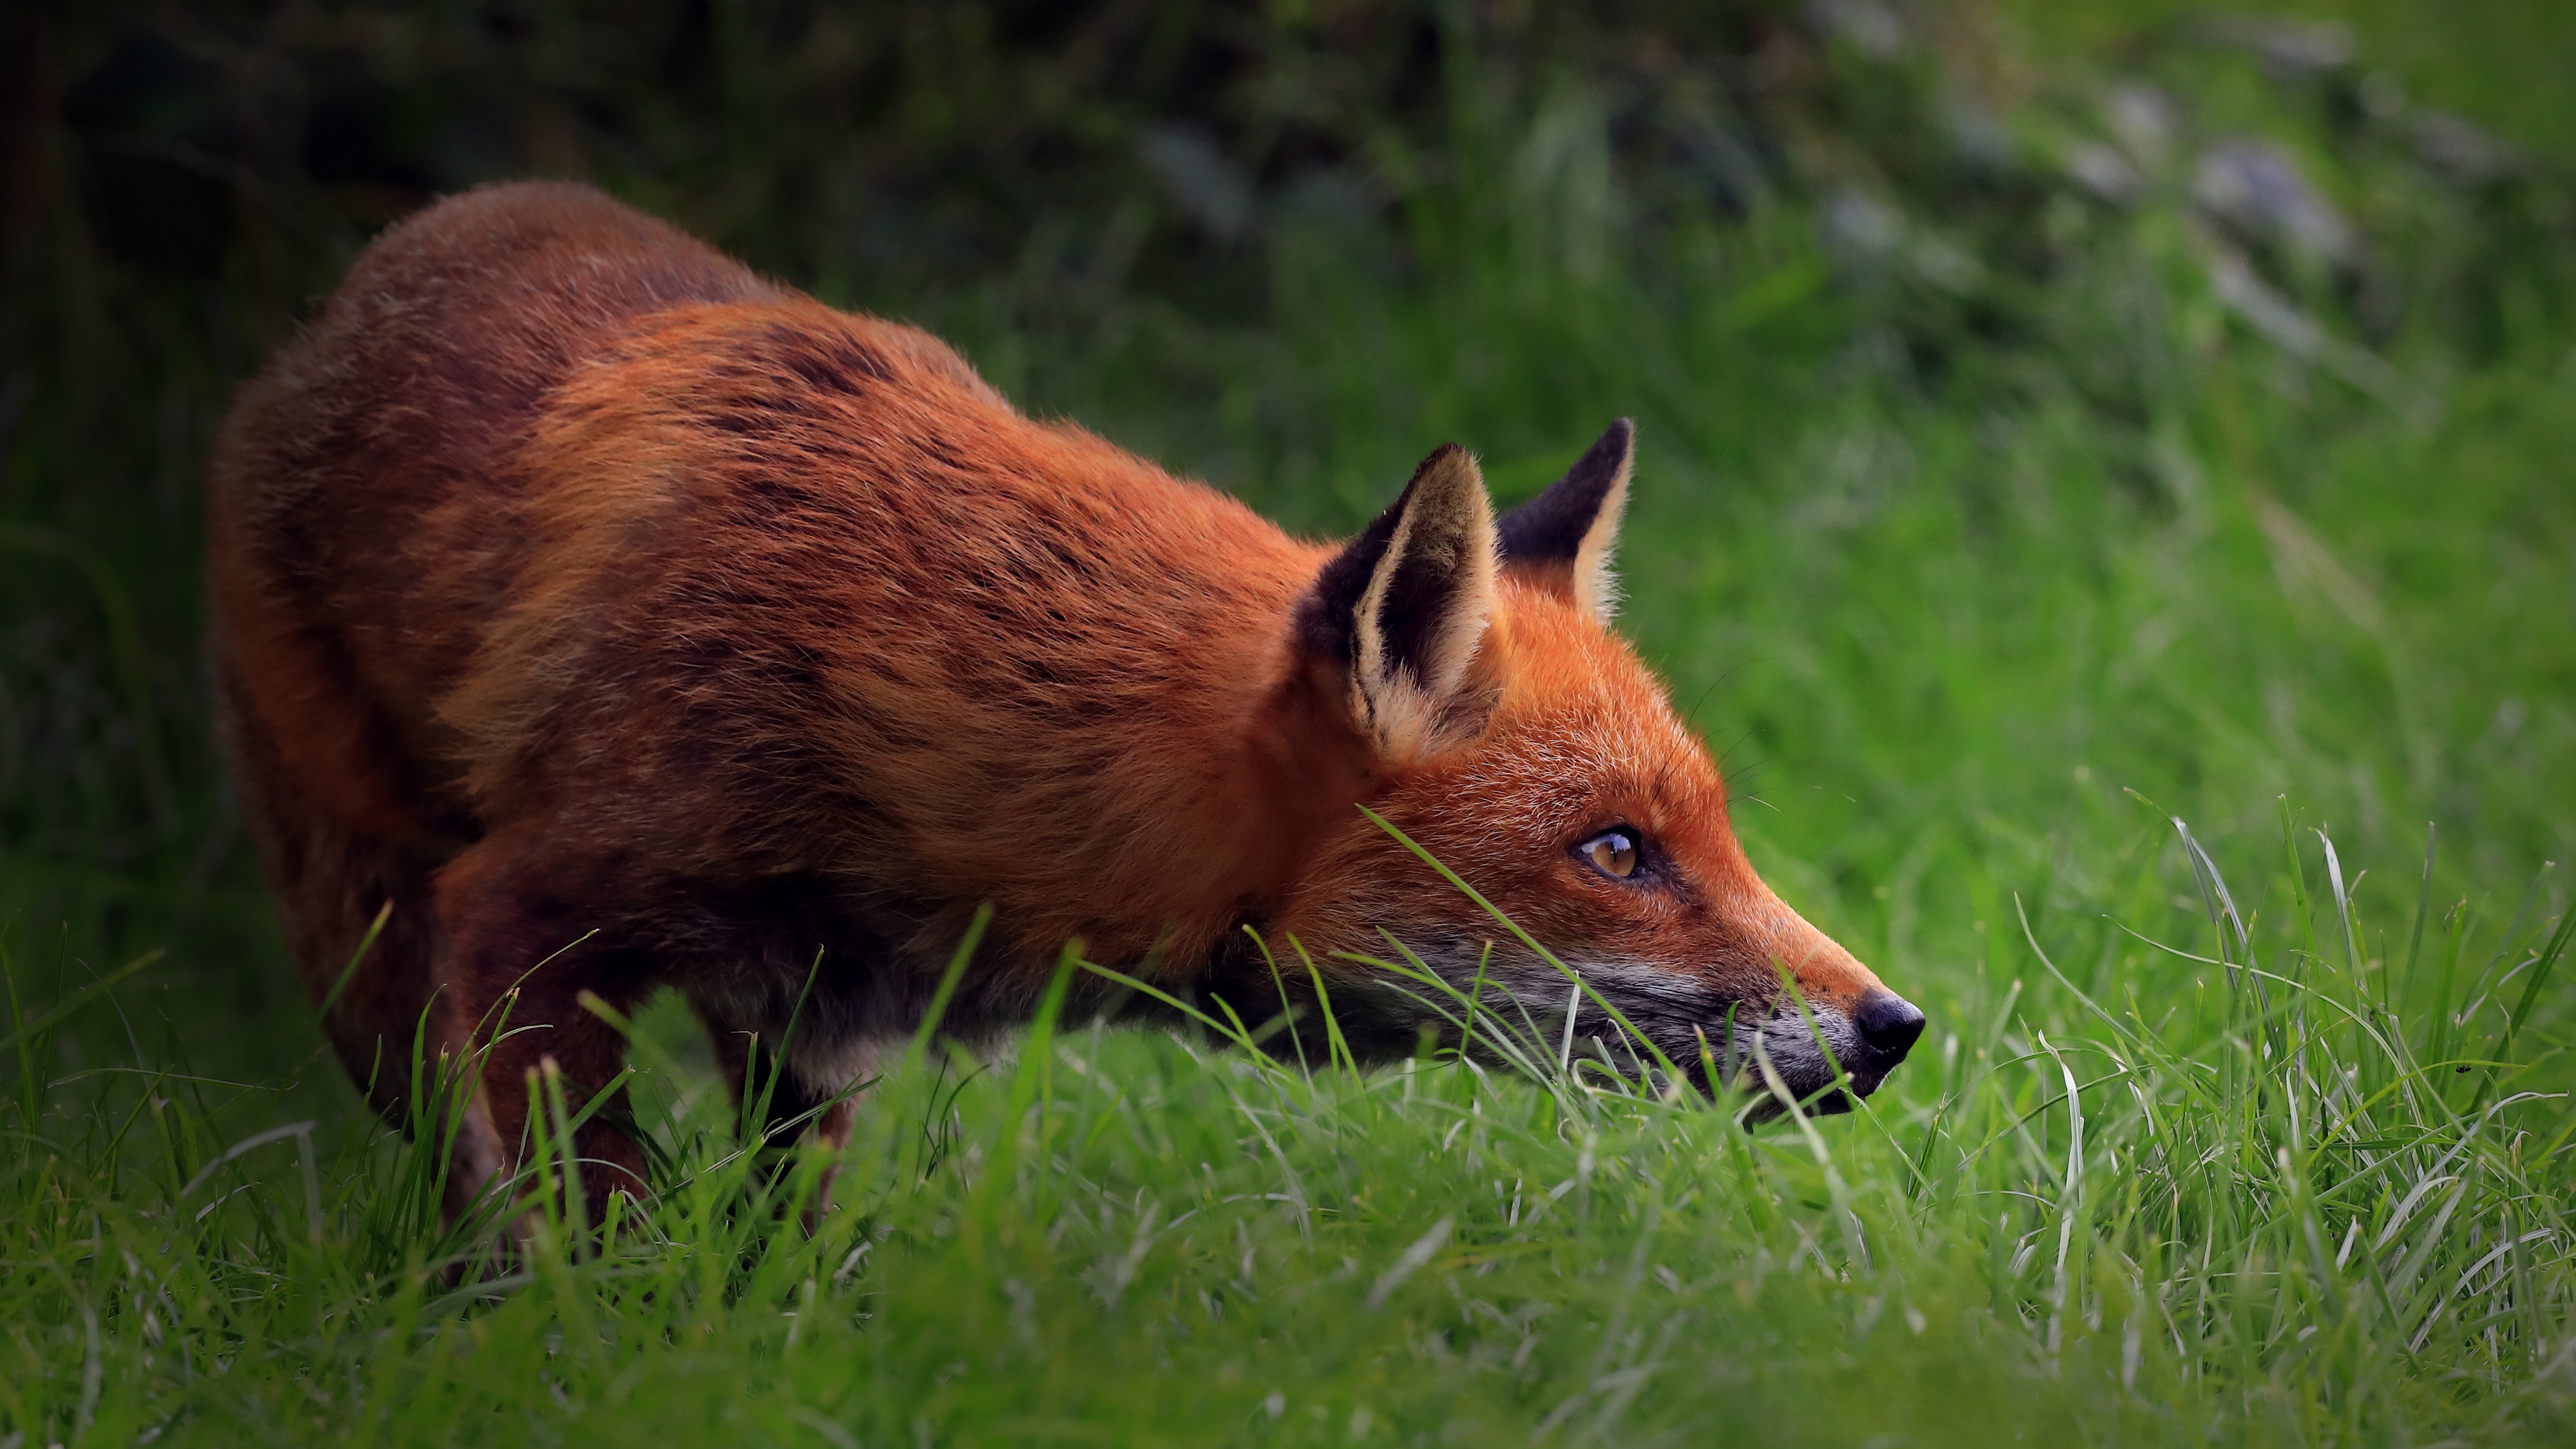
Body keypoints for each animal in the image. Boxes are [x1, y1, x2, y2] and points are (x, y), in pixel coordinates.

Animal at [207, 181, 1923, 1215]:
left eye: (1714, 830)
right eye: (1615, 854)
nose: (1897, 1027)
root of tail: (392, 257)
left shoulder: (814, 1035)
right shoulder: (529, 914)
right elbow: (600, 1222)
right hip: (367, 943)